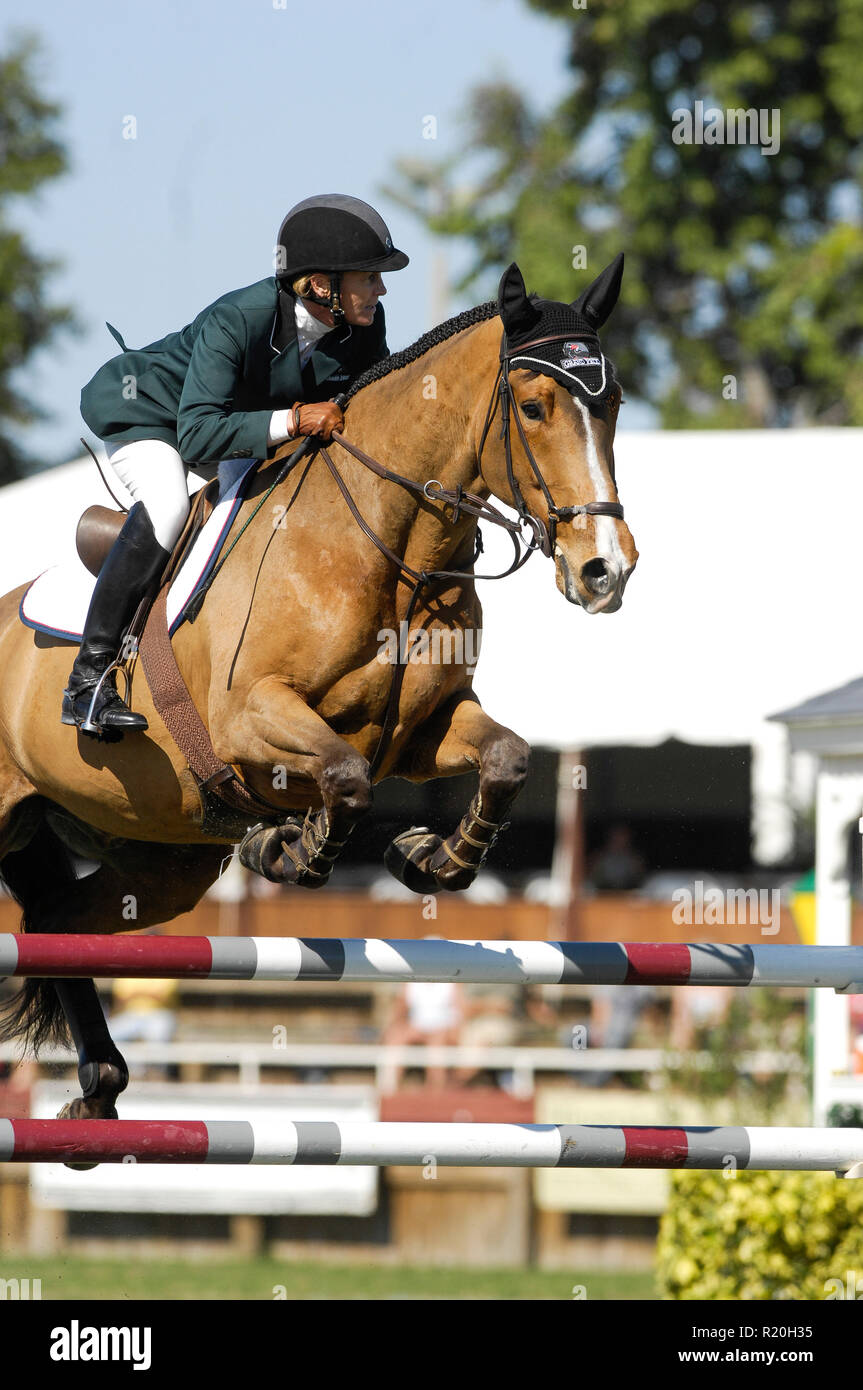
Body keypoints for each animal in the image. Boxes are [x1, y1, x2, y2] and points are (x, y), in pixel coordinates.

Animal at [0, 259, 637, 1125]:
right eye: (534, 407)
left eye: (613, 403)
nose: (606, 570)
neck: (391, 547)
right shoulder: (248, 721)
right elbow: (344, 776)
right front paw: (291, 847)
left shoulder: (422, 731)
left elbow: (503, 759)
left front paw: (429, 860)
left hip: (153, 856)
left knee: (55, 921)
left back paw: (100, 1086)